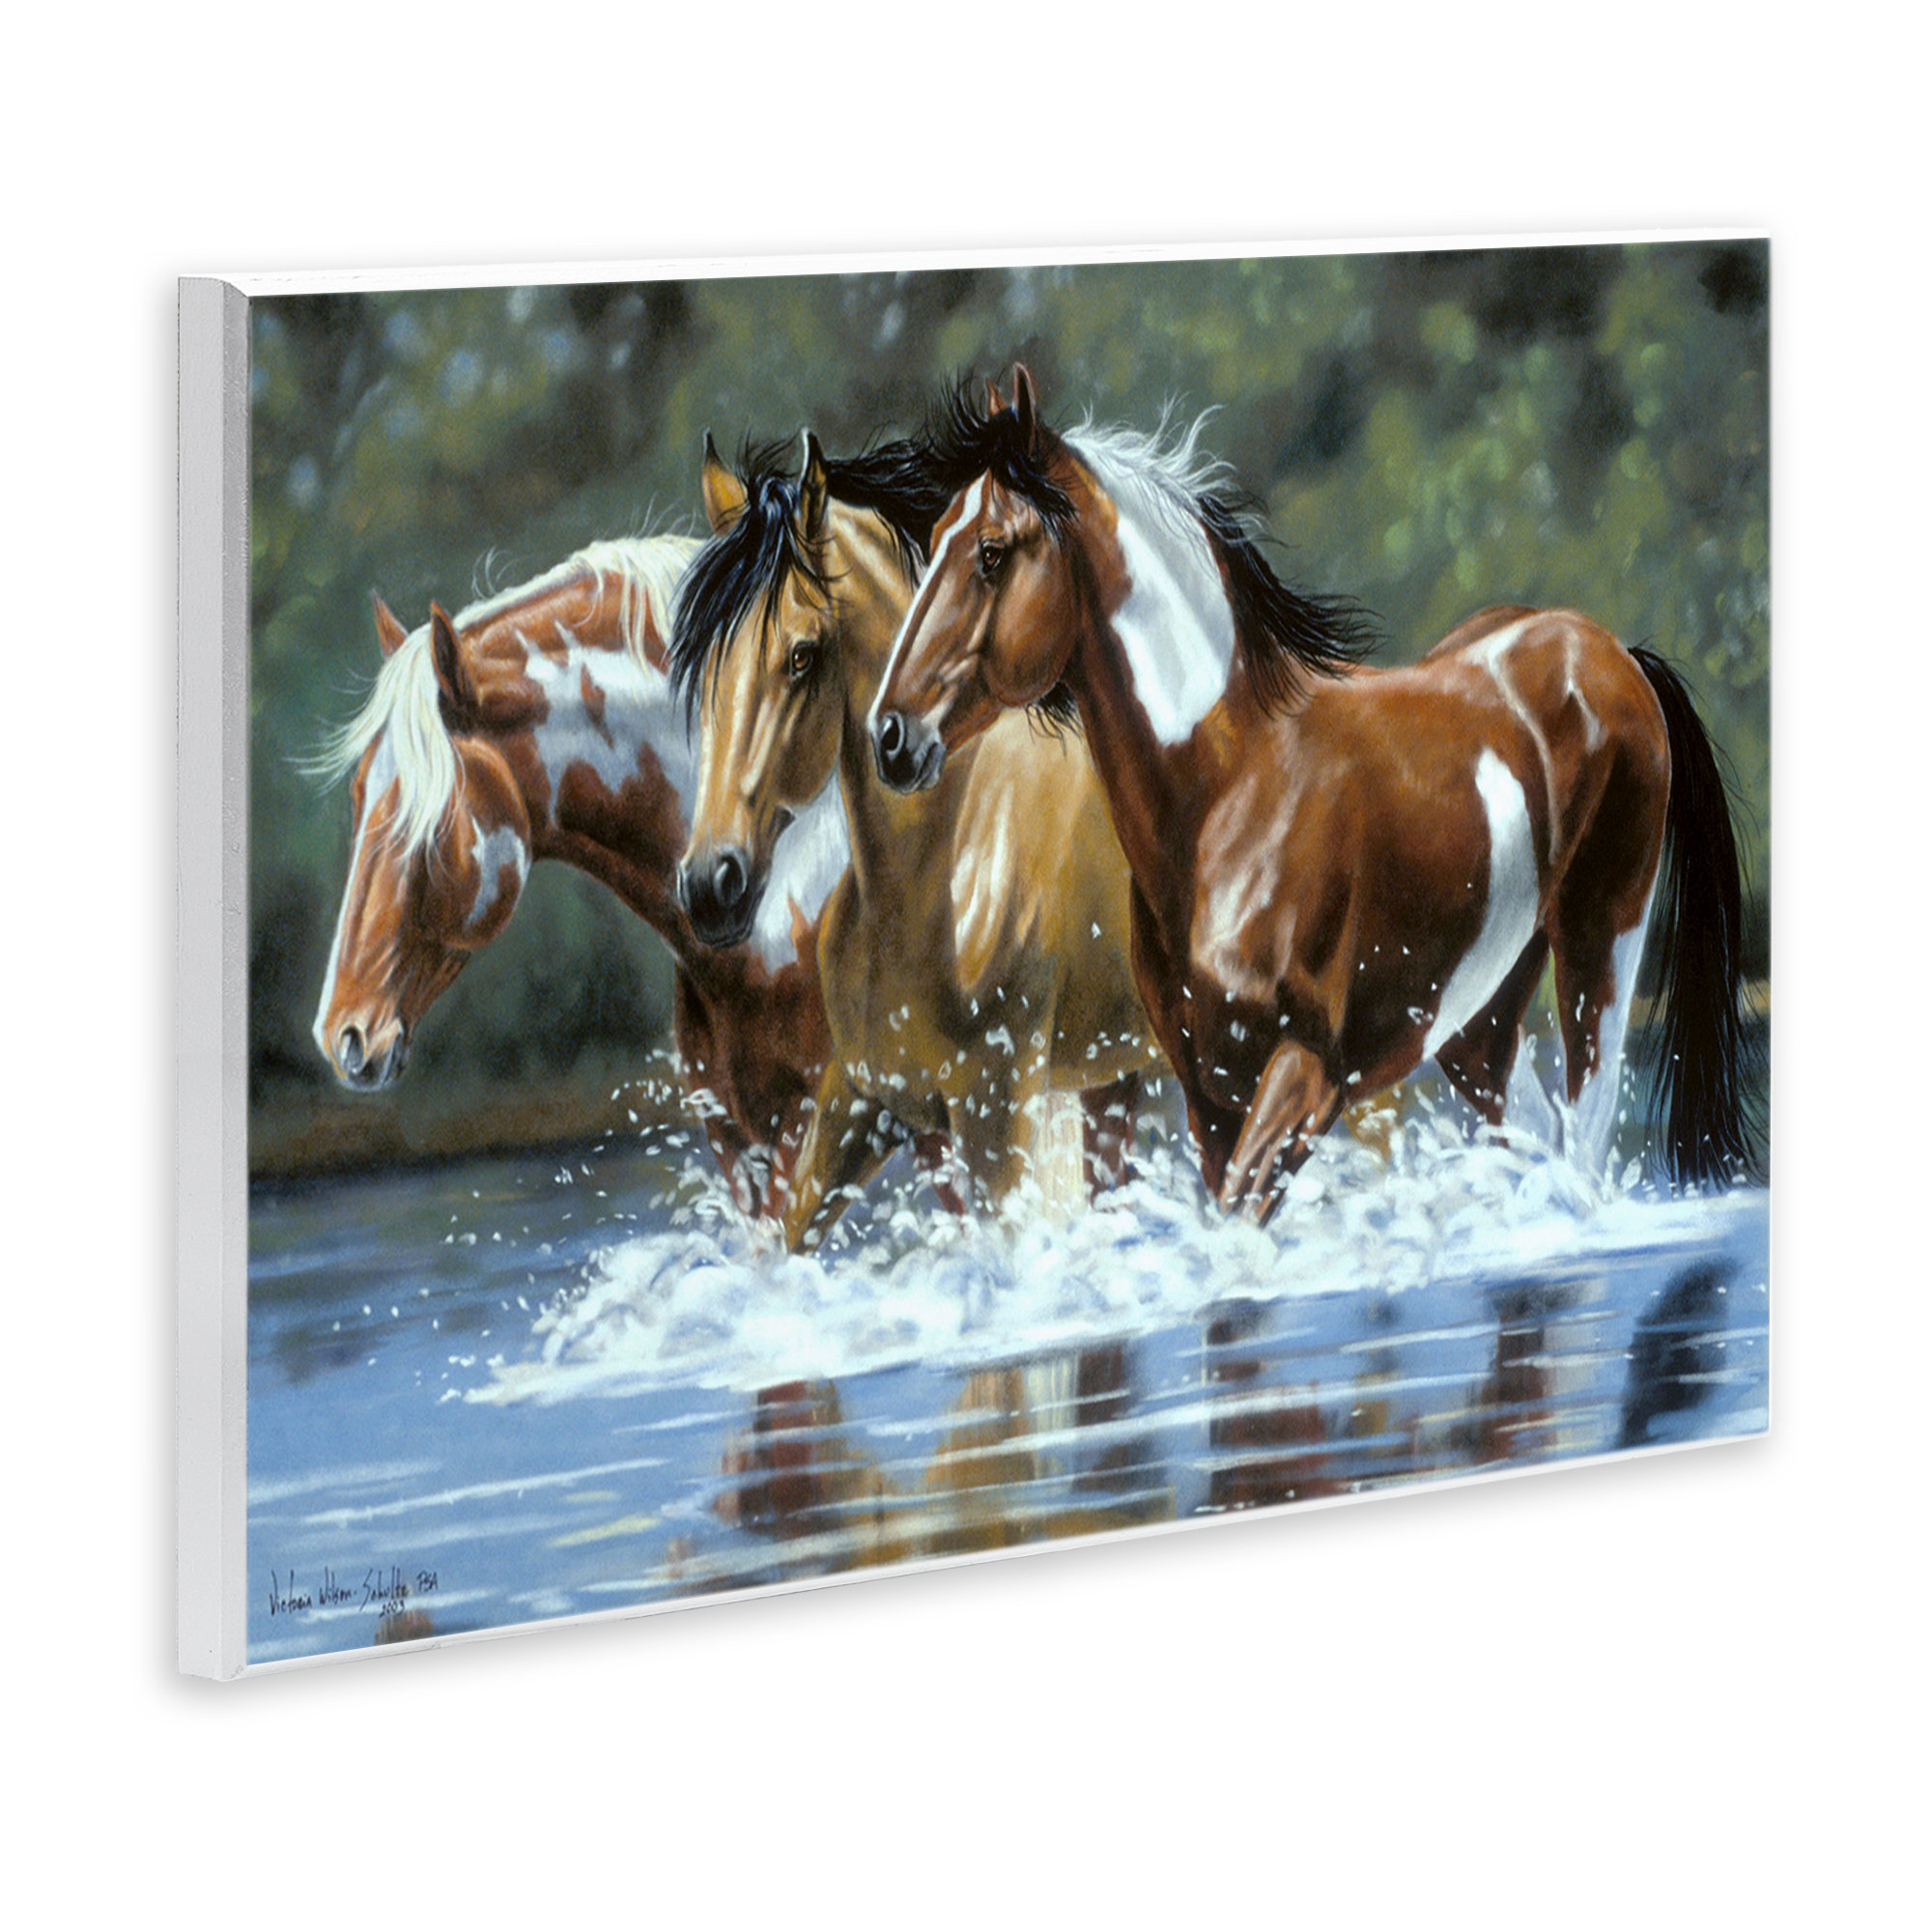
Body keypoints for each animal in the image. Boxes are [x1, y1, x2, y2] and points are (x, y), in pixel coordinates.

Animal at [670, 432, 1161, 1252]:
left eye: (801, 655)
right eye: (705, 667)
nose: (711, 884)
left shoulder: (996, 1115)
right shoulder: (861, 1100)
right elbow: (788, 1238)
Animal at [871, 368, 1759, 1215]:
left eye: (991, 551)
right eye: (936, 541)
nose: (891, 736)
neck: (1232, 790)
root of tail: (1608, 652)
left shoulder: (1308, 1077)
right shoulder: (1210, 1099)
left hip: (1598, 954)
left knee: (1582, 1143)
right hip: (1477, 1021)